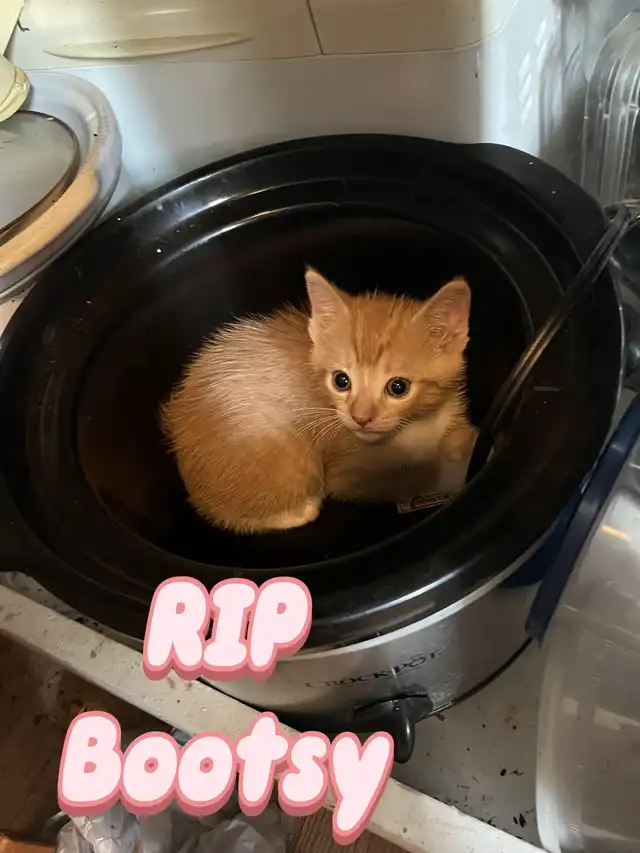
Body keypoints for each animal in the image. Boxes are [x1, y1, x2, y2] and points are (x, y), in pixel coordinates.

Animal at [161, 267, 477, 534]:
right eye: (341, 381)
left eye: (398, 387)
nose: (361, 418)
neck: (415, 427)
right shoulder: (347, 475)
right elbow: (413, 476)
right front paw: (451, 472)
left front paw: (467, 442)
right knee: (229, 514)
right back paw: (301, 511)